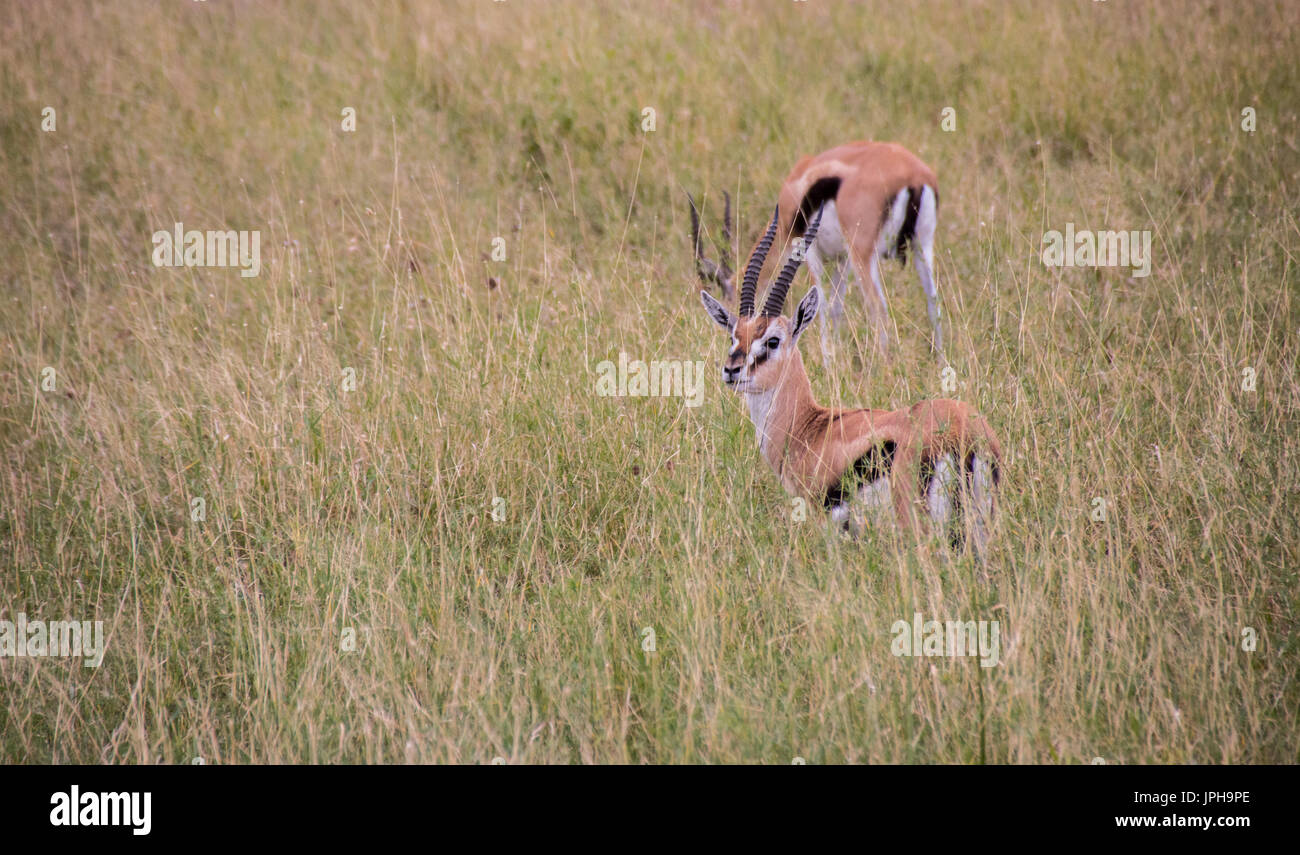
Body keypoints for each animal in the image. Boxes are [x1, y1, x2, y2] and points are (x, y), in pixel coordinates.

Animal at [696, 141, 943, 361]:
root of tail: (914, 175)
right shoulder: (842, 259)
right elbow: (836, 306)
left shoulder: (807, 250)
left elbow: (821, 305)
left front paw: (828, 361)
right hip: (922, 246)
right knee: (933, 302)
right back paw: (939, 363)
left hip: (863, 253)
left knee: (878, 306)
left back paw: (884, 364)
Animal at [699, 207, 1001, 554]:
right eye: (734, 335)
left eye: (773, 340)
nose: (731, 370)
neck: (809, 429)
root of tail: (964, 437)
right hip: (981, 532)